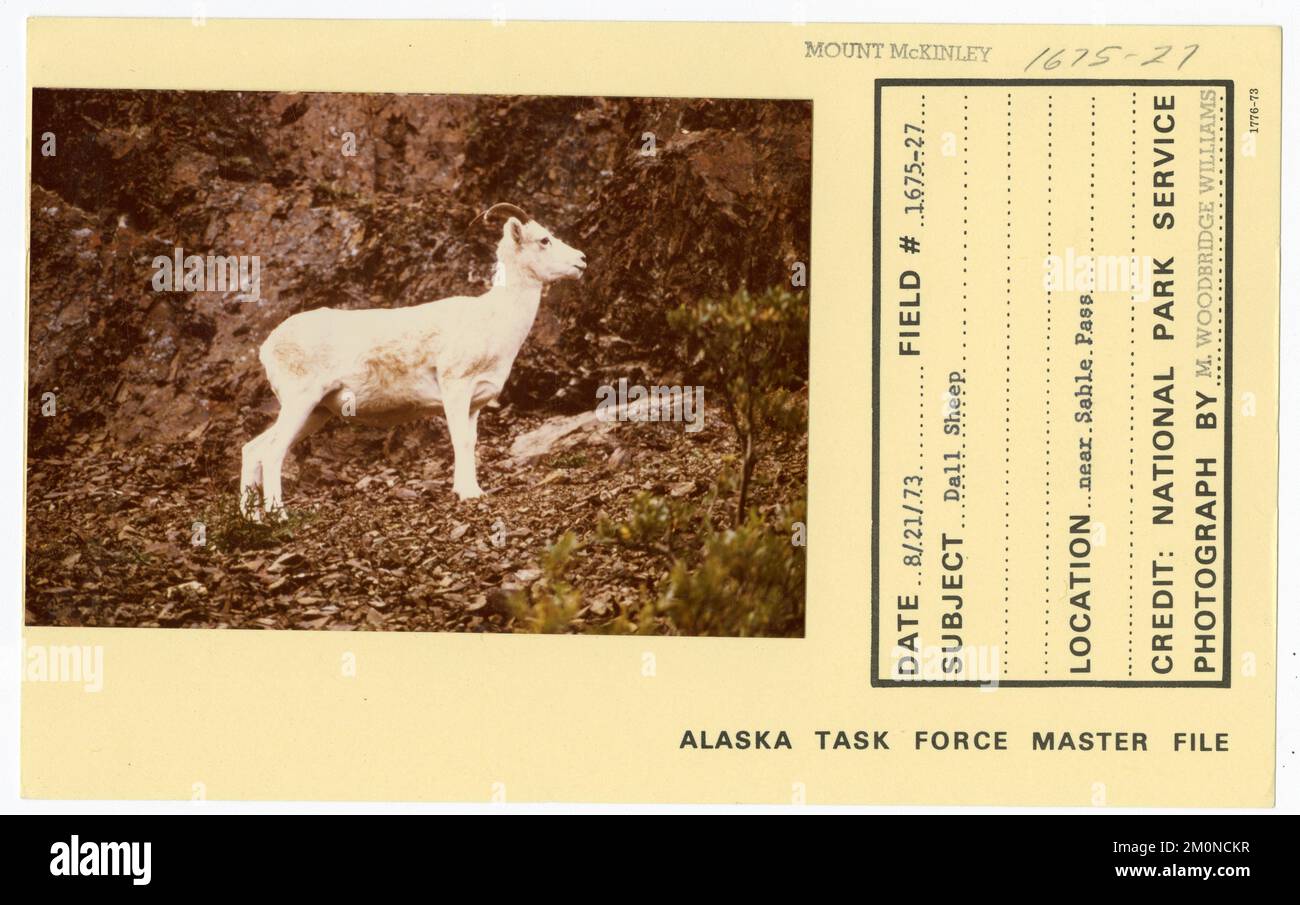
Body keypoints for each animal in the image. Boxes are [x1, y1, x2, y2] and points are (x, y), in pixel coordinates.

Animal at [240, 203, 587, 519]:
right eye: (544, 239)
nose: (581, 260)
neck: (493, 318)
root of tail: (268, 346)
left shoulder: (474, 404)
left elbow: (470, 442)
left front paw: (468, 489)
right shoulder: (455, 389)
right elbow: (460, 441)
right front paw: (469, 495)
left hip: (316, 412)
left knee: (253, 450)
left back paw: (251, 520)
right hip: (301, 402)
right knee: (271, 452)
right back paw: (278, 516)